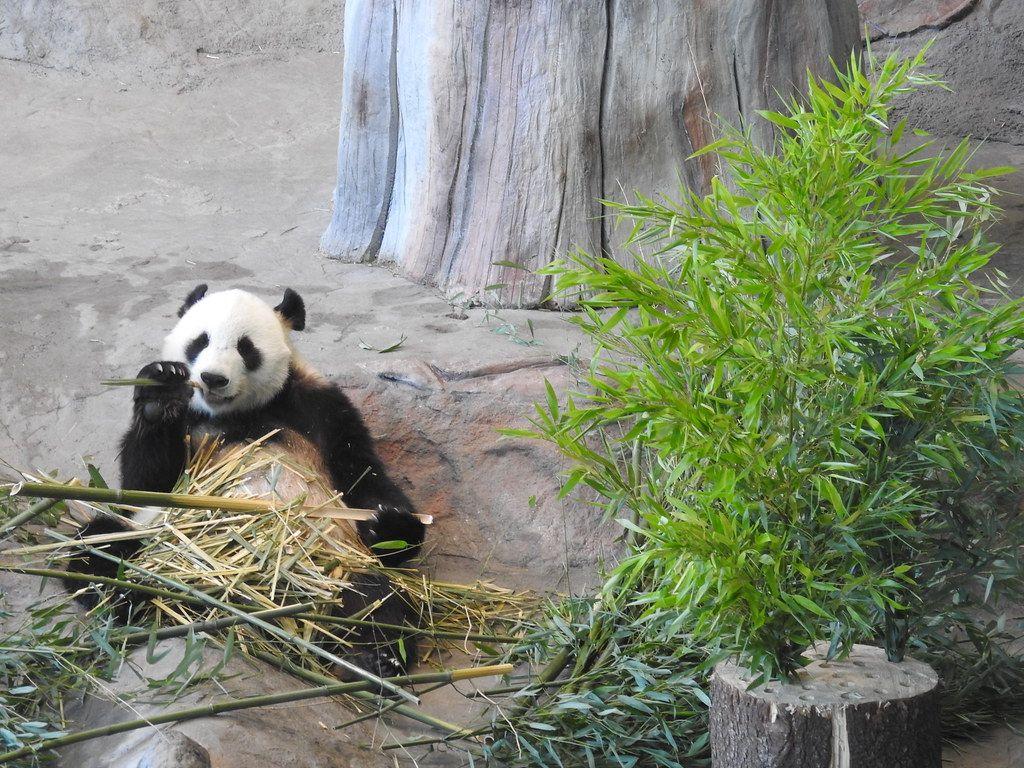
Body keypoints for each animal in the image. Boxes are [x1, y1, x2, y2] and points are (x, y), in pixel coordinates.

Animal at [66, 284, 426, 678]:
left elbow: (362, 473)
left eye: (246, 348)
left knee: (375, 601)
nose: (212, 378)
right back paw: (126, 592)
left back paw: (376, 658)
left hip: (333, 564)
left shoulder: (321, 407)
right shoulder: (189, 428)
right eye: (200, 341)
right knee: (100, 545)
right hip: (152, 541)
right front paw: (160, 394)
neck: (237, 413)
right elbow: (146, 484)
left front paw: (389, 524)